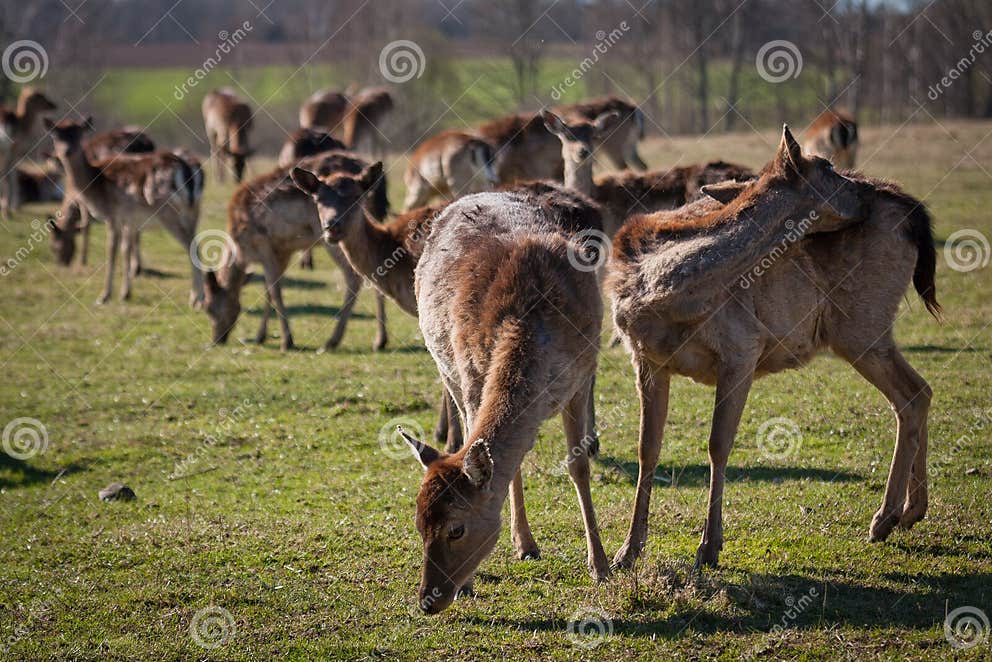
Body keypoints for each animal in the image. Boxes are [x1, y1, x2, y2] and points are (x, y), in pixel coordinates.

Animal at [0, 87, 57, 218]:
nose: (53, 105)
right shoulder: (14, 152)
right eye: (40, 96)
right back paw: (6, 212)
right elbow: (13, 178)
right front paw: (14, 207)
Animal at [49, 127, 158, 268]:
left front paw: (82, 261)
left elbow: (86, 225)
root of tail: (146, 144)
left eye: (53, 247)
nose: (61, 264)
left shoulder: (85, 198)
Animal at [203, 151, 388, 352]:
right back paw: (380, 341)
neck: (240, 250)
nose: (217, 339)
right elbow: (268, 290)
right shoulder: (283, 251)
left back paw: (333, 341)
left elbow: (274, 290)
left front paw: (287, 341)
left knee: (354, 276)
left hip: (330, 238)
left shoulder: (263, 244)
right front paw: (261, 336)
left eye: (208, 307)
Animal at [394, 191, 609, 613]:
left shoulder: (580, 378)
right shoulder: (471, 376)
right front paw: (471, 583)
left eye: (456, 529)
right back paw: (524, 544)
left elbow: (578, 467)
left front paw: (601, 565)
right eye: (418, 525)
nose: (427, 600)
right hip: (447, 370)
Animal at [608, 126, 938, 571]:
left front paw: (709, 547)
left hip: (862, 326)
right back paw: (908, 512)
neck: (661, 294)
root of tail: (914, 211)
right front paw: (626, 551)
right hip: (866, 330)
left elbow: (718, 444)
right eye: (828, 165)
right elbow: (647, 448)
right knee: (918, 392)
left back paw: (885, 518)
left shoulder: (743, 345)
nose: (866, 194)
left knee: (911, 393)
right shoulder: (645, 358)